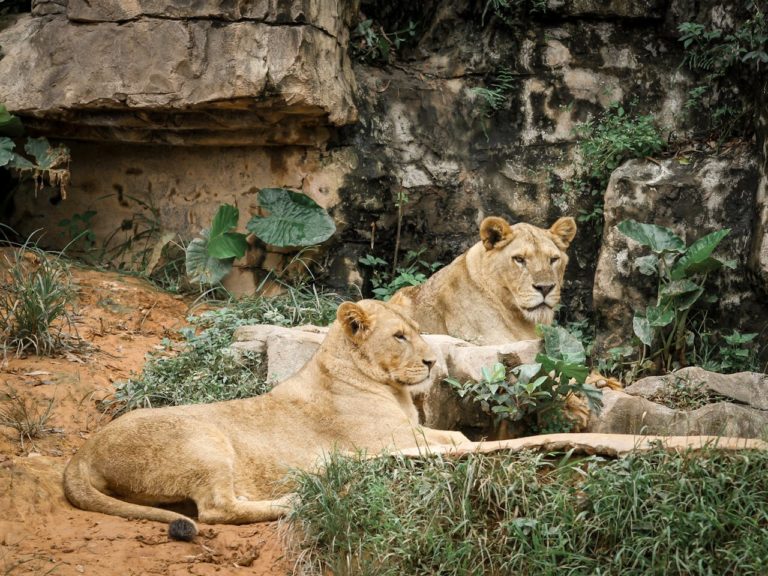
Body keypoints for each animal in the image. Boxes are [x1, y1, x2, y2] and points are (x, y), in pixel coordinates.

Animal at [63, 299, 469, 541]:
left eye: (417, 330)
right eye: (399, 337)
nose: (433, 361)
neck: (393, 389)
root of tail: (83, 452)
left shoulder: (406, 431)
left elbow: (454, 436)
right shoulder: (391, 438)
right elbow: (456, 438)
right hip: (205, 439)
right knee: (215, 509)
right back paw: (297, 499)